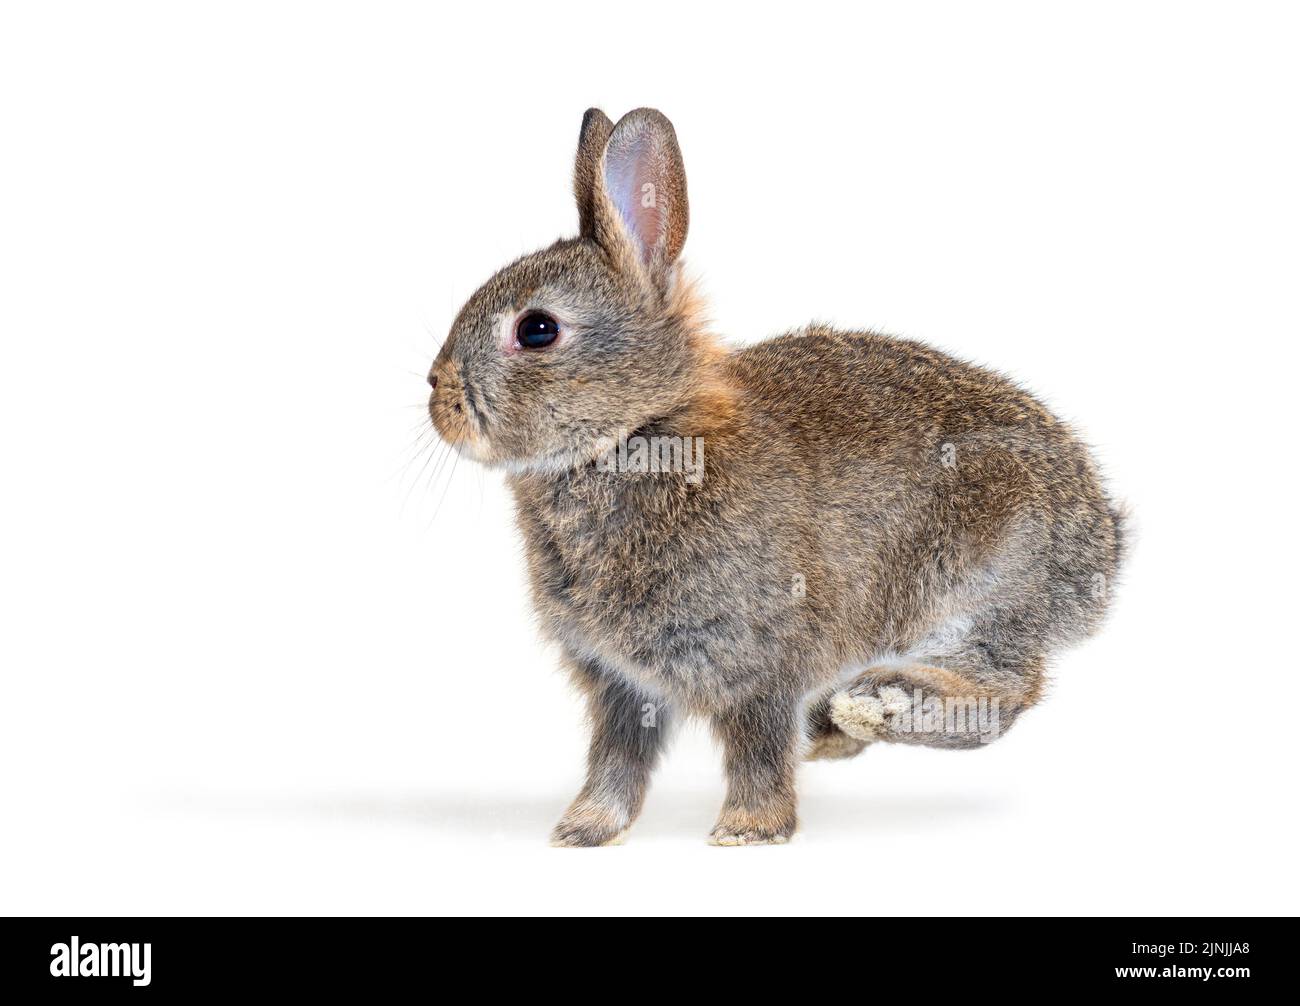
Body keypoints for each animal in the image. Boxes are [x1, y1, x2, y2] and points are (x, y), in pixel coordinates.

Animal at [427, 107, 1126, 846]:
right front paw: (583, 831)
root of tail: (1105, 539)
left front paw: (746, 831)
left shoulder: (759, 662)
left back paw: (873, 706)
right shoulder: (622, 683)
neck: (640, 433)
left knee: (1008, 693)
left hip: (973, 594)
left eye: (537, 330)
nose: (437, 393)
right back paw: (838, 726)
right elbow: (616, 760)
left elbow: (755, 747)